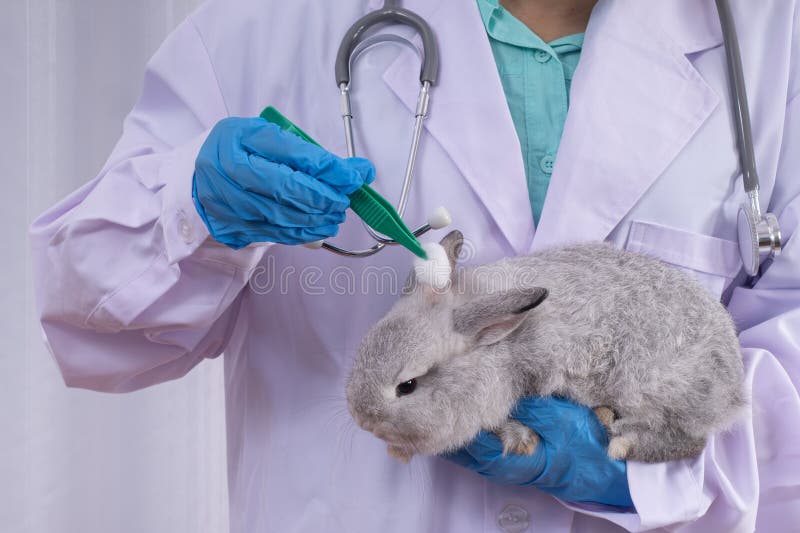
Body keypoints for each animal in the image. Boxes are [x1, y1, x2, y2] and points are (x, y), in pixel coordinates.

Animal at [346, 230, 746, 464]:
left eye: (408, 385)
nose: (362, 419)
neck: (498, 345)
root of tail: (734, 394)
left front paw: (519, 439)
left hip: (654, 389)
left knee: (691, 442)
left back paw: (621, 440)